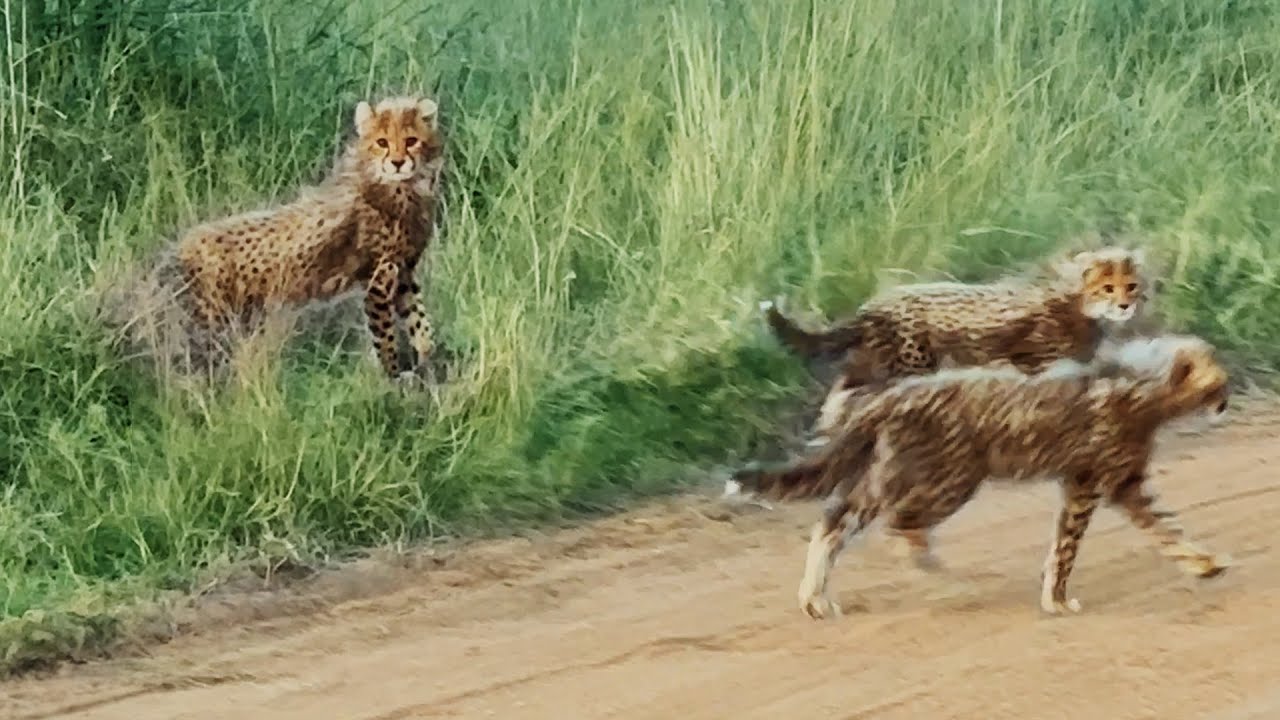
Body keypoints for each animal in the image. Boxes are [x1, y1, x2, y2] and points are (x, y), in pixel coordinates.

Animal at [150, 95, 446, 379]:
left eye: (411, 141)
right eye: (382, 142)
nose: (397, 163)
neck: (400, 186)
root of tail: (185, 242)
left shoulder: (403, 270)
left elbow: (420, 320)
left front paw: (426, 355)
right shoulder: (379, 277)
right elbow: (385, 335)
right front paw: (391, 375)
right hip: (211, 320)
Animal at [725, 333, 1232, 621]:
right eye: (1219, 383)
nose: (1226, 402)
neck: (1140, 383)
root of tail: (892, 393)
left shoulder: (1123, 485)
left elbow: (1165, 527)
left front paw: (1202, 563)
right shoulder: (1088, 484)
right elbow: (1067, 548)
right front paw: (1056, 599)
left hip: (889, 475)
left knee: (834, 521)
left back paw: (815, 599)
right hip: (947, 480)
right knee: (896, 526)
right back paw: (943, 577)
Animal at [762, 247, 1150, 446]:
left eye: (1131, 285)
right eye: (1107, 288)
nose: (1125, 306)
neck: (1076, 302)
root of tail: (873, 303)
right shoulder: (1036, 364)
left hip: (876, 363)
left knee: (842, 389)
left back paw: (828, 426)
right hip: (911, 366)